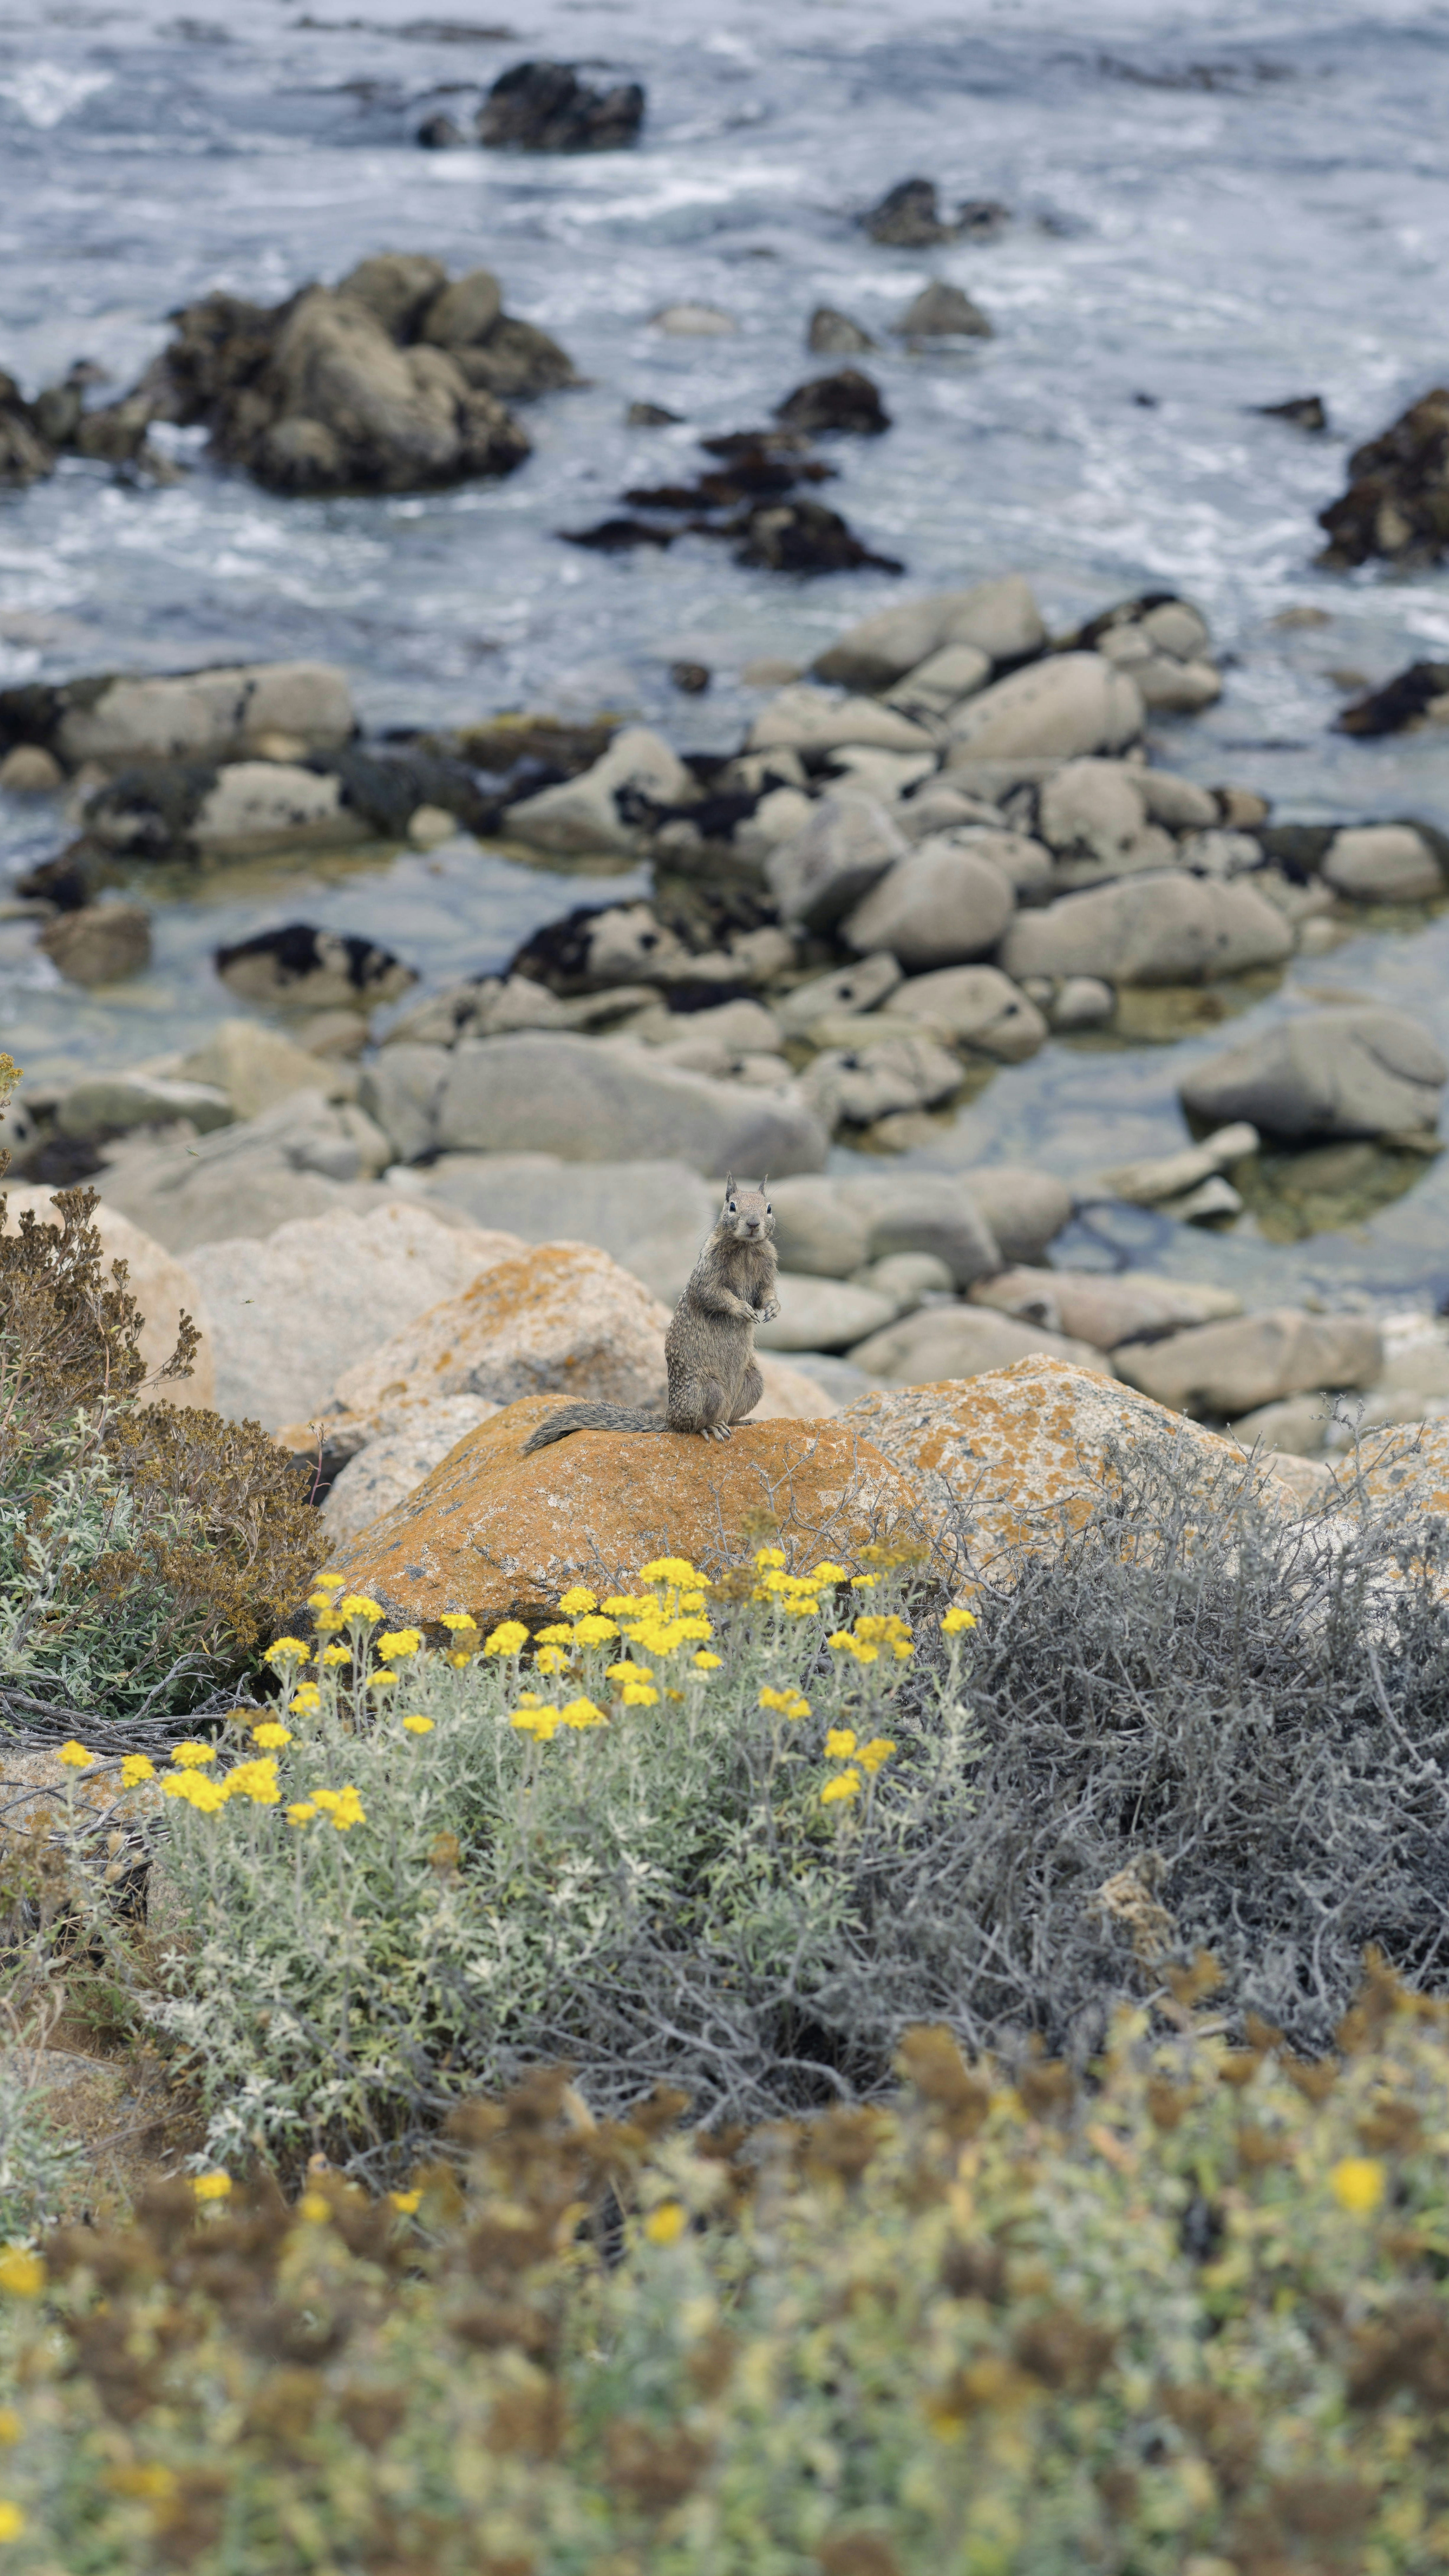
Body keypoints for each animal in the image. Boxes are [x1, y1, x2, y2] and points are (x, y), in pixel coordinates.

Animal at [522, 1177, 781, 1454]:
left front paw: (774, 1308)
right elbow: (712, 1294)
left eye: (769, 1208)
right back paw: (711, 1427)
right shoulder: (707, 1273)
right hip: (706, 1390)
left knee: (730, 1415)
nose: (753, 1224)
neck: (746, 1247)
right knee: (691, 1426)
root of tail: (669, 1416)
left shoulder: (767, 1270)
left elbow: (766, 1293)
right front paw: (741, 1308)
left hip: (754, 1382)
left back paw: (744, 1421)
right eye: (732, 1206)